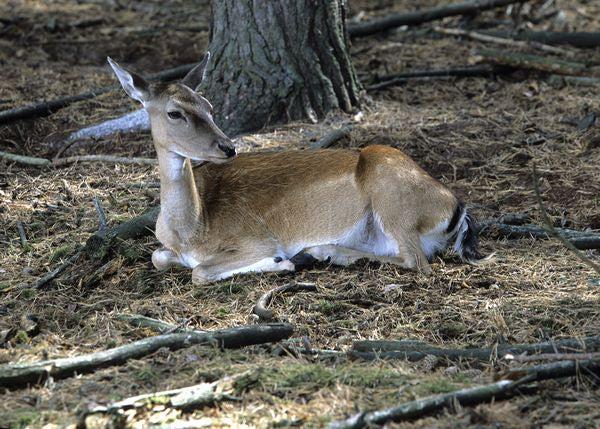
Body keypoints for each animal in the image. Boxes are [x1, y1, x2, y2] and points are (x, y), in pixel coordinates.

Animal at [105, 54, 486, 284]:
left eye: (209, 105)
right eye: (174, 112)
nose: (228, 147)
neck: (192, 229)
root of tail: (456, 207)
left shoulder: (255, 238)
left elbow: (199, 271)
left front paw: (282, 262)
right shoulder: (165, 247)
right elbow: (157, 256)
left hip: (393, 198)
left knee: (417, 260)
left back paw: (318, 254)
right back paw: (323, 252)